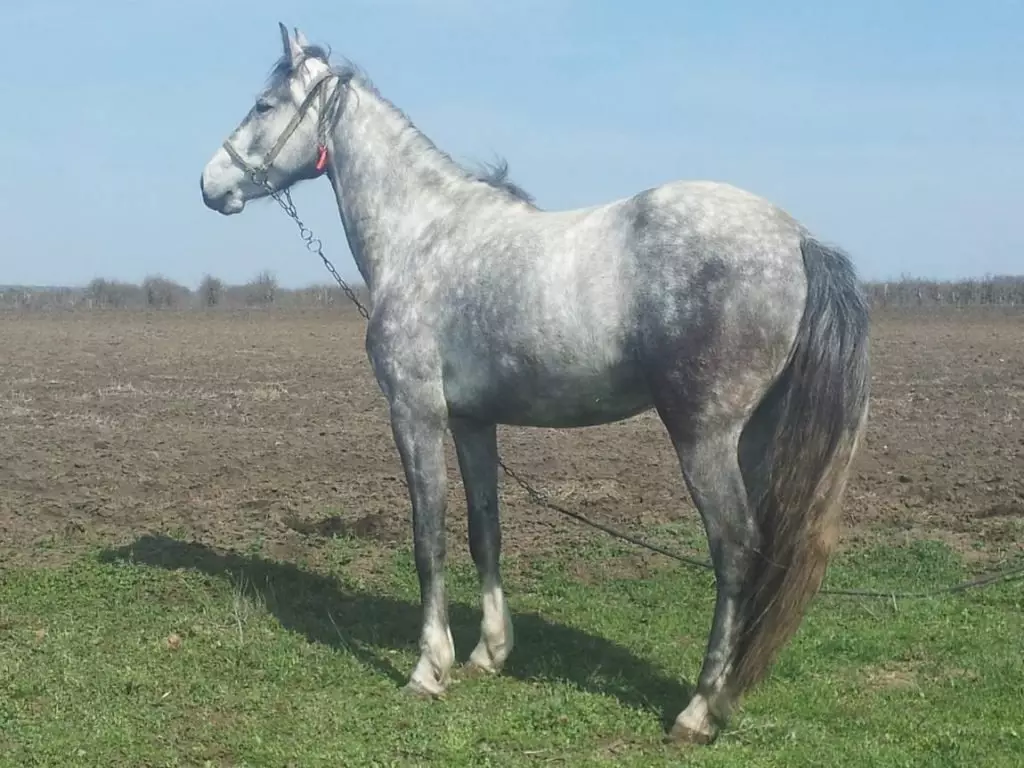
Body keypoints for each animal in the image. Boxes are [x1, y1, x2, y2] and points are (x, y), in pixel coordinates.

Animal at [199, 24, 872, 745]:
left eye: (264, 104)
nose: (210, 184)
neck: (424, 235)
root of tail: (799, 240)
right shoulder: (472, 421)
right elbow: (483, 528)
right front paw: (488, 653)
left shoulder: (414, 411)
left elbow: (428, 536)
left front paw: (428, 669)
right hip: (757, 436)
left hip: (704, 437)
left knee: (736, 549)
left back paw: (698, 709)